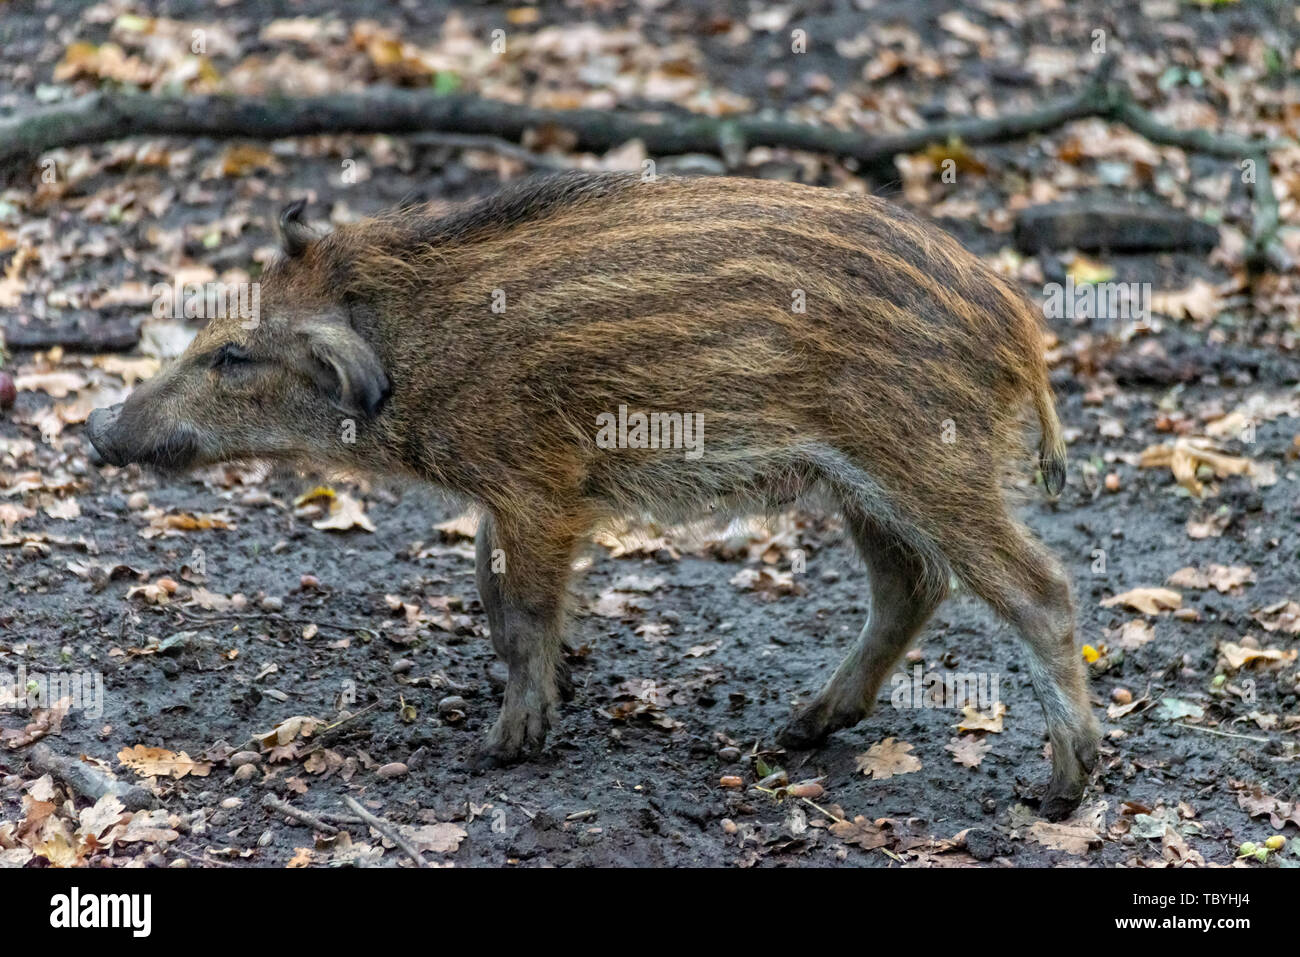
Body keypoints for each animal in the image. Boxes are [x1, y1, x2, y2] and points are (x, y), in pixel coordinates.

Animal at [87, 172, 1099, 819]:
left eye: (234, 355)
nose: (98, 426)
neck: (421, 350)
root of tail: (1020, 324)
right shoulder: (507, 493)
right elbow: (490, 592)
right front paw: (557, 692)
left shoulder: (541, 483)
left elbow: (527, 604)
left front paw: (508, 743)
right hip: (862, 482)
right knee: (909, 585)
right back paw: (800, 730)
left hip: (926, 462)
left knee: (1037, 589)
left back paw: (1058, 789)